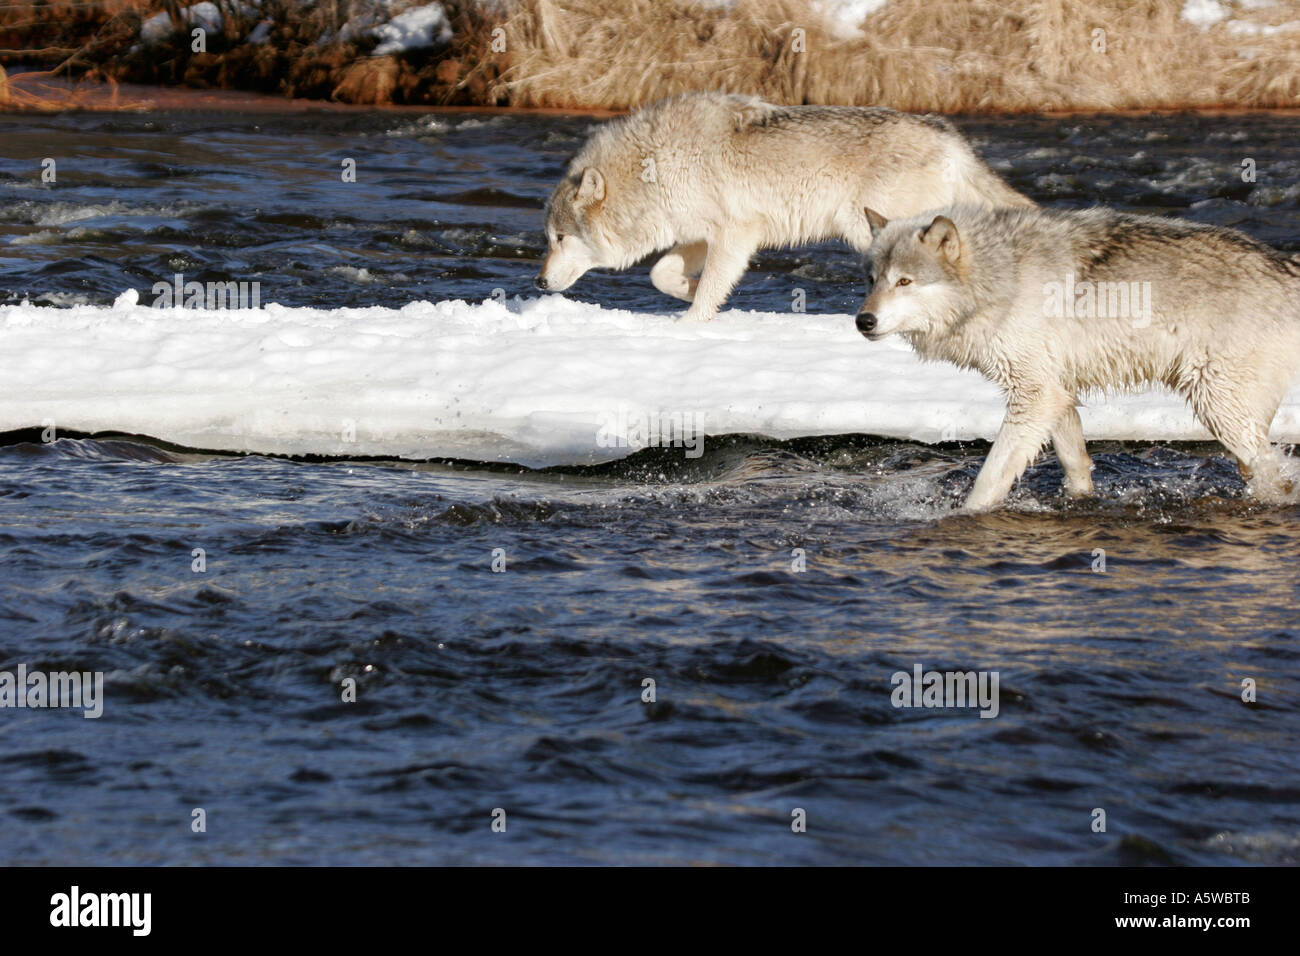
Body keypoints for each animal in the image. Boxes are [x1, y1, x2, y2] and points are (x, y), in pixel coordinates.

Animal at [538, 91, 1033, 322]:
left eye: (559, 237)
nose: (538, 281)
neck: (652, 165)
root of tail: (949, 135)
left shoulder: (736, 233)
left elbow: (709, 287)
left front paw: (692, 323)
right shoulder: (697, 234)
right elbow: (661, 274)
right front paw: (689, 292)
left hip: (874, 228)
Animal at [855, 204, 1300, 512]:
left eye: (905, 281)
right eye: (873, 280)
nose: (863, 320)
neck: (1001, 276)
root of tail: (1284, 267)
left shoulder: (1034, 395)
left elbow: (990, 478)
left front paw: (964, 516)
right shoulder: (1056, 392)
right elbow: (1076, 464)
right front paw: (1081, 501)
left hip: (1216, 407)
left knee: (1275, 477)